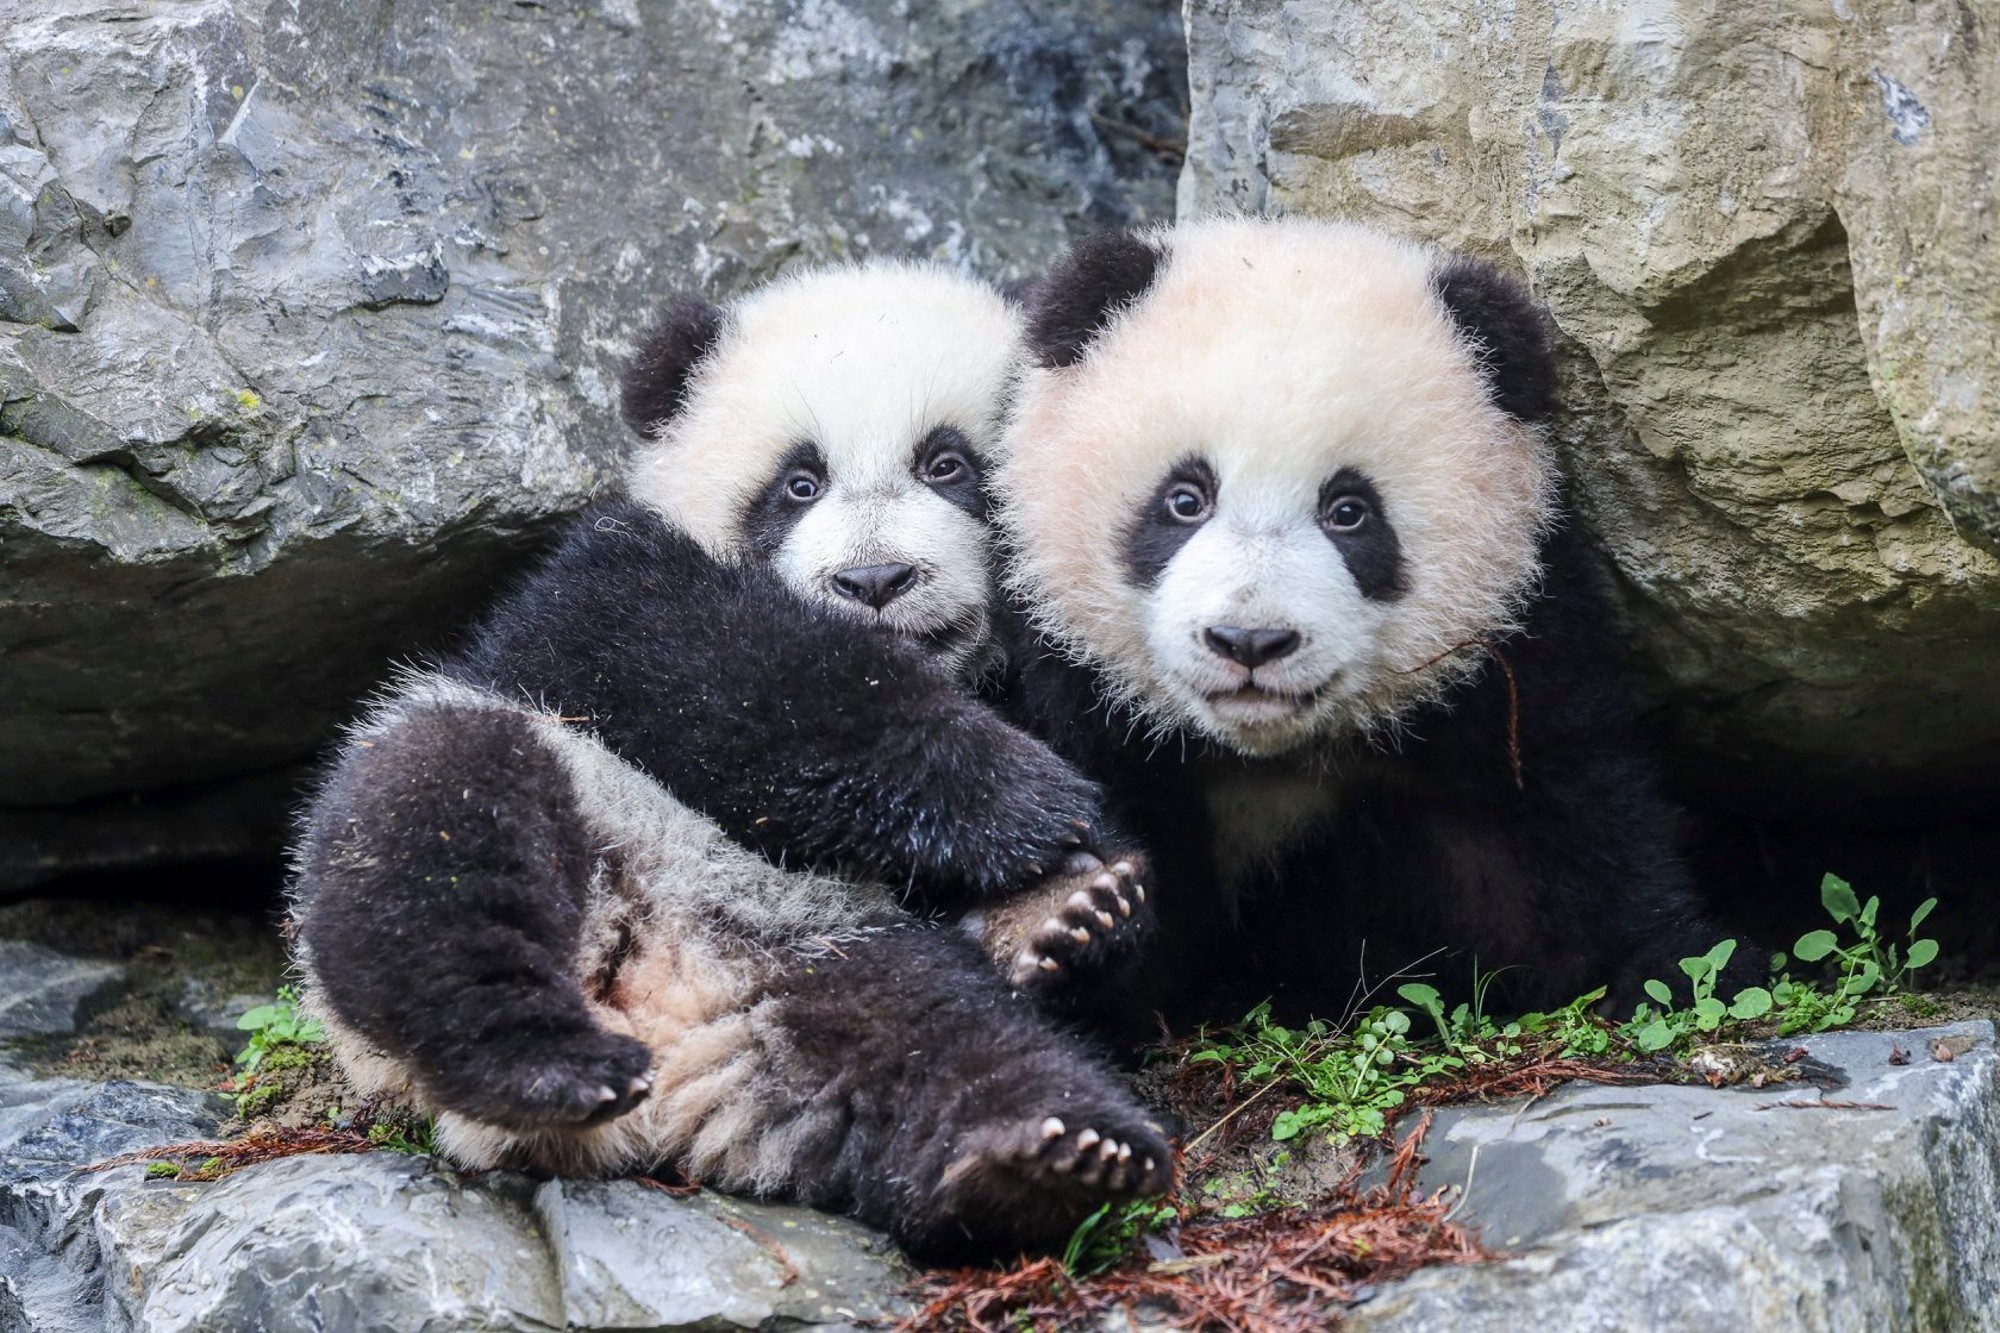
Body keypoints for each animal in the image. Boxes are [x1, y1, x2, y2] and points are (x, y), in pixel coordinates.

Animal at [291, 260, 1168, 1261]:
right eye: (799, 482)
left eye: (946, 465)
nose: (873, 581)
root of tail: (668, 1022)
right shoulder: (595, 589)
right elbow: (714, 675)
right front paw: (1022, 801)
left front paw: (1079, 911)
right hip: (560, 792)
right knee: (435, 833)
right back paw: (545, 1061)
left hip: (829, 950)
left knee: (942, 1041)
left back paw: (1048, 1139)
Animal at [991, 217, 1727, 1026]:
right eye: (1185, 498)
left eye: (1349, 511)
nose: (1251, 642)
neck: (1268, 754)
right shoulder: (1068, 678)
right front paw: (1079, 926)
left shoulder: (1514, 663)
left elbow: (1572, 827)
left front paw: (1674, 968)